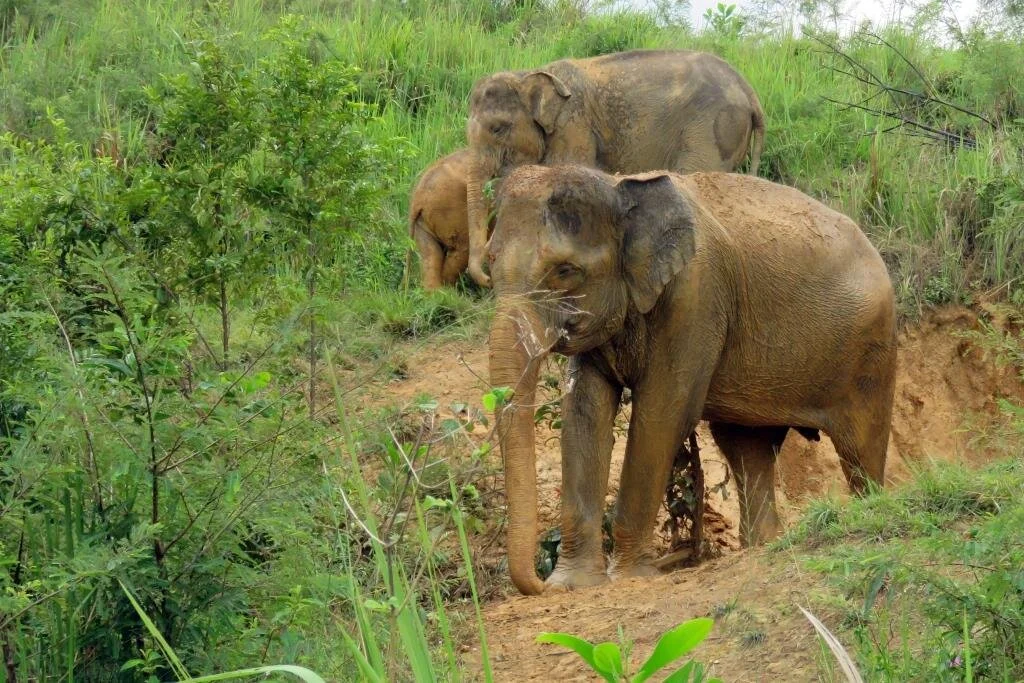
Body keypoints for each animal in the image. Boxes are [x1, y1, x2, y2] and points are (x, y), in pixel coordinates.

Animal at [464, 49, 766, 287]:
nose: (487, 279)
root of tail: (750, 92)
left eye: (497, 128)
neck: (527, 75)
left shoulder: (575, 126)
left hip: (712, 131)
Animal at [486, 165, 896, 595]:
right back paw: (762, 545)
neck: (618, 186)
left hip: (869, 353)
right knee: (746, 448)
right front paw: (573, 584)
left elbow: (661, 416)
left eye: (565, 271)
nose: (538, 583)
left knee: (859, 449)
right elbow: (585, 414)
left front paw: (628, 576)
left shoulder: (694, 296)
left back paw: (868, 510)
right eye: (490, 264)